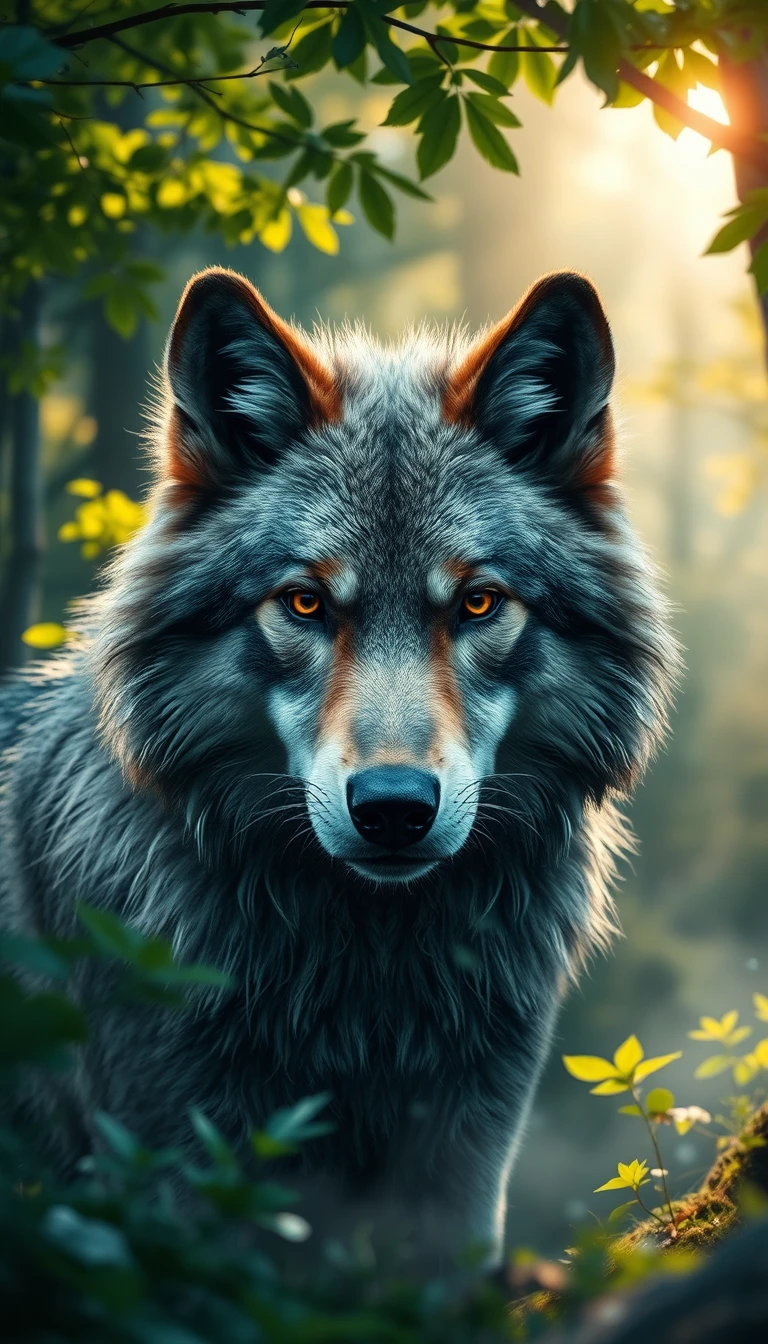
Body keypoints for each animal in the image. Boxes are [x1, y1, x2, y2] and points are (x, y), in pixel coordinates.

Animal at [0, 267, 677, 1271]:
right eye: (306, 602)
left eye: (479, 603)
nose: (393, 807)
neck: (365, 973)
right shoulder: (180, 1175)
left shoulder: (464, 1171)